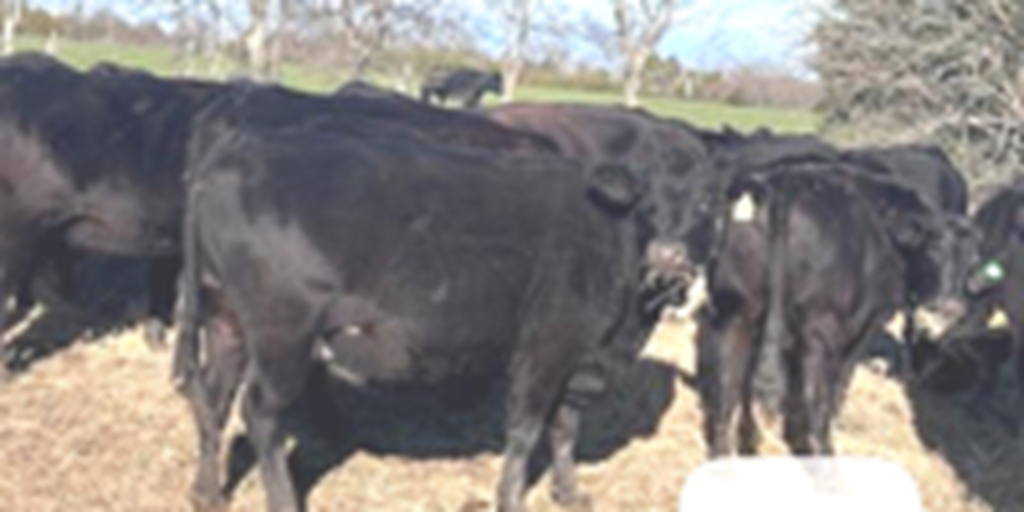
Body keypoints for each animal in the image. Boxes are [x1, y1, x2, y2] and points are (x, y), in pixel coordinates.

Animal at [172, 112, 667, 512]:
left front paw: (569, 493)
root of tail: (237, 145)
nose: (671, 256)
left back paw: (206, 494)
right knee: (259, 413)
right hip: (284, 335)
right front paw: (511, 500)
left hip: (226, 322)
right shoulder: (547, 349)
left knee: (212, 402)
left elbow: (565, 429)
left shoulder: (577, 361)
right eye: (646, 203)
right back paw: (281, 502)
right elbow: (526, 433)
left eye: (692, 207)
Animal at [683, 157, 977, 457]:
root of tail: (783, 183)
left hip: (735, 310)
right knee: (815, 392)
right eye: (933, 250)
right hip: (820, 328)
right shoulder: (868, 323)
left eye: (972, 262)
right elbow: (841, 379)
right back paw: (824, 451)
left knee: (726, 383)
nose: (950, 308)